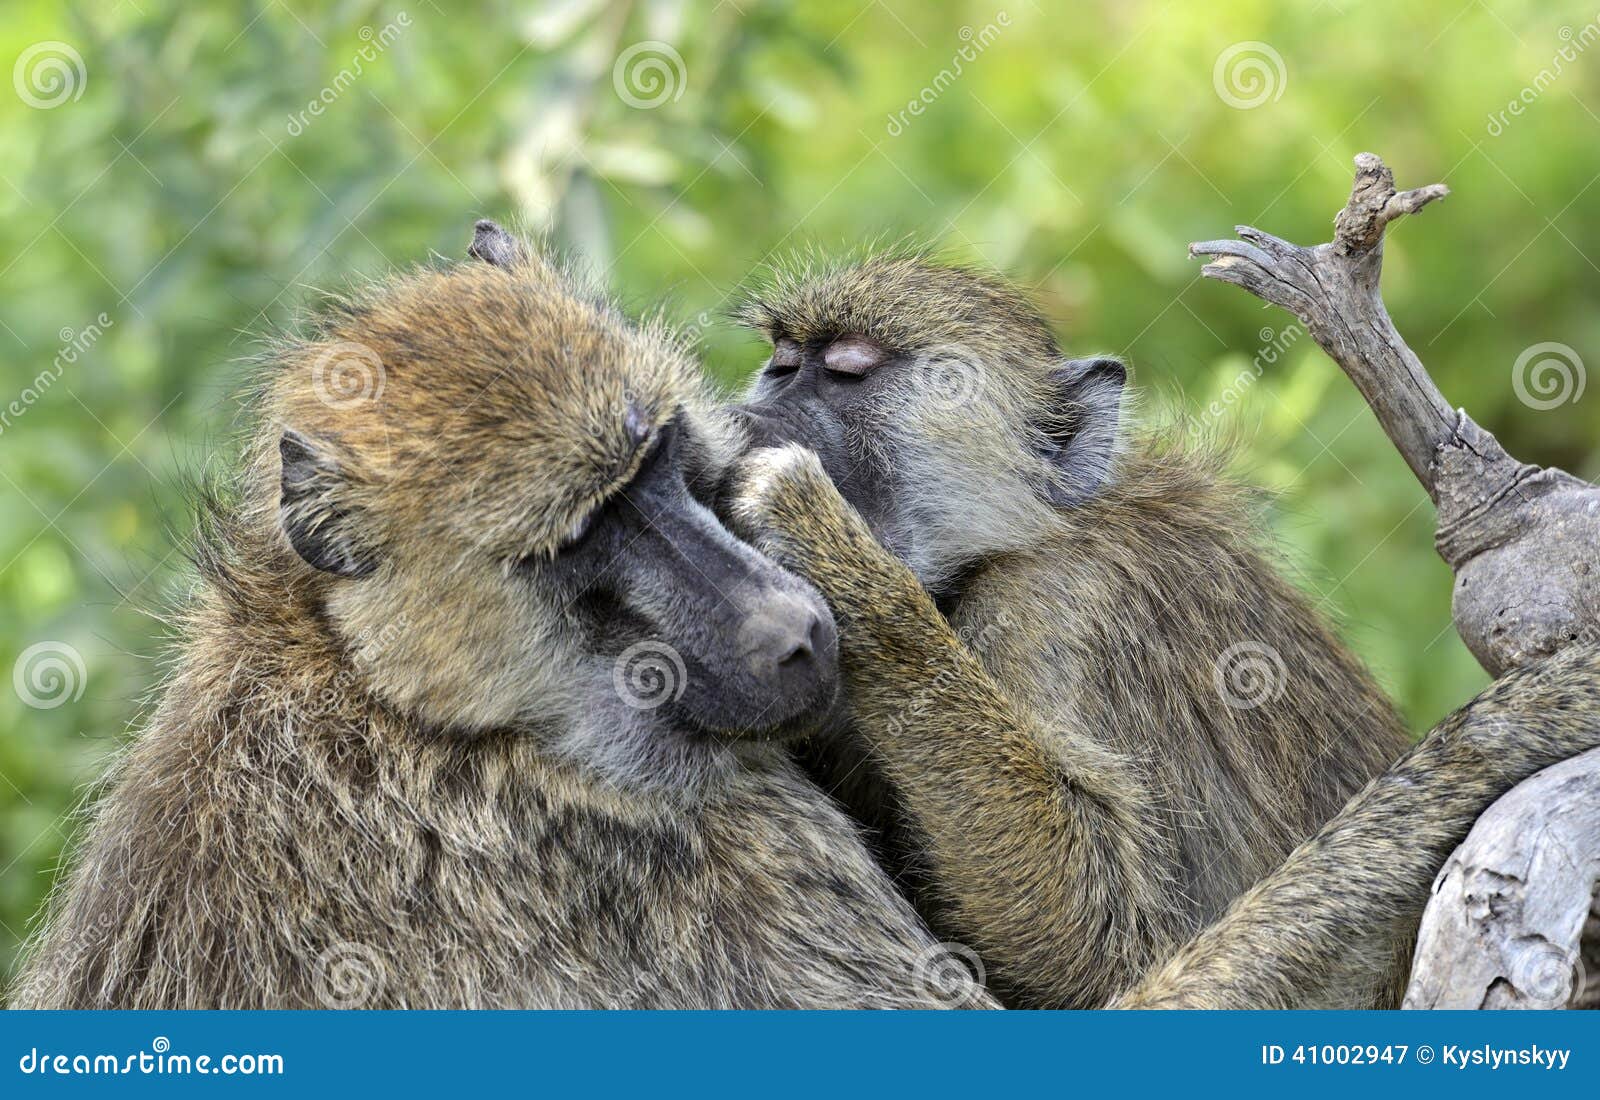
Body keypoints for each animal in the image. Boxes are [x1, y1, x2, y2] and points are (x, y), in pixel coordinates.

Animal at [717, 250, 1600, 1008]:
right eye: (782, 365)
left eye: (848, 370)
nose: (746, 416)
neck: (996, 549)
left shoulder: (1060, 608)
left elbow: (1099, 938)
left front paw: (823, 540)